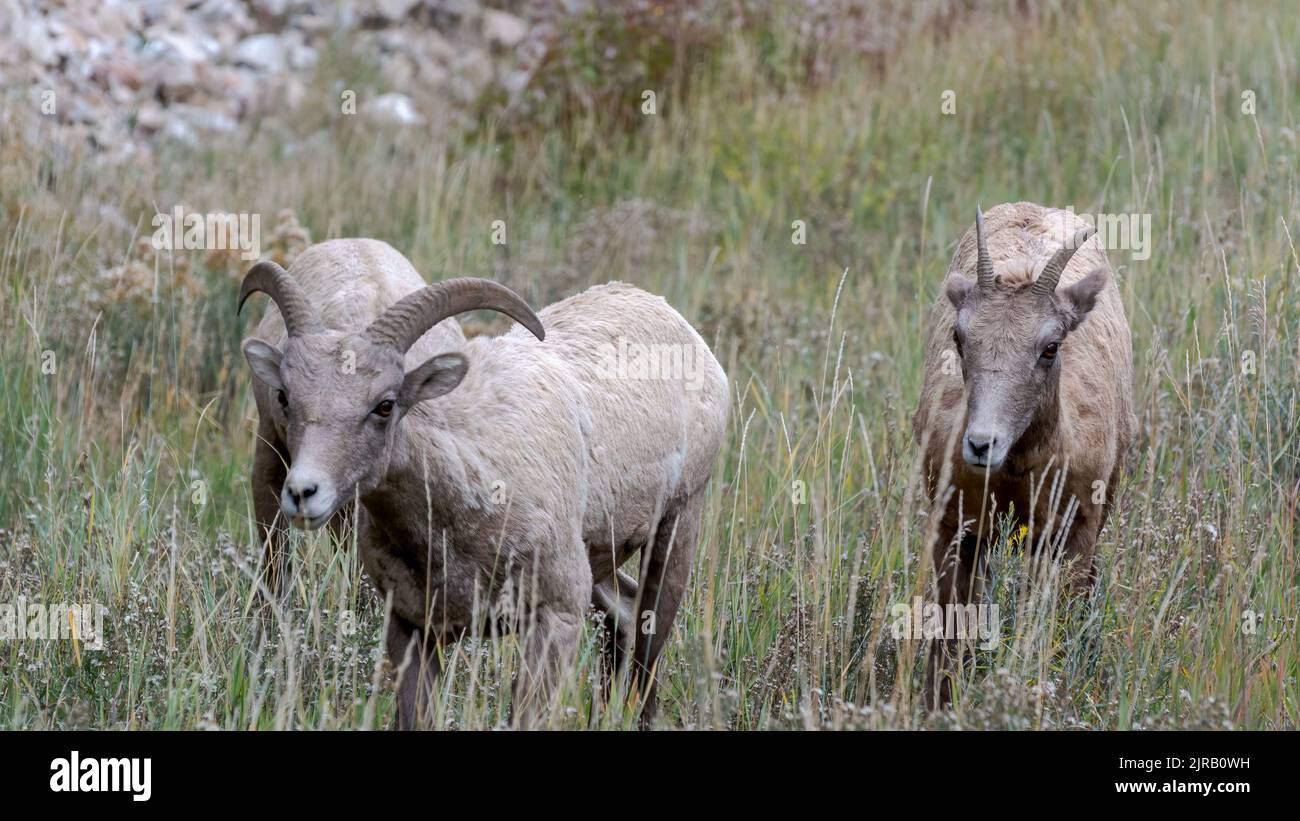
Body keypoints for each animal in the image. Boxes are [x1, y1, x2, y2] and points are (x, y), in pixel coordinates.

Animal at [238, 239, 729, 727]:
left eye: (385, 404)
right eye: (285, 397)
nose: (303, 493)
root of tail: (666, 314)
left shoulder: (554, 620)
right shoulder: (412, 628)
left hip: (676, 528)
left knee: (648, 638)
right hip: (600, 561)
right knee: (624, 619)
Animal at [911, 202, 1135, 707]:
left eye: (1050, 347)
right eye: (960, 338)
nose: (981, 444)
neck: (1014, 475)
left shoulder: (1073, 534)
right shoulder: (955, 528)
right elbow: (949, 636)